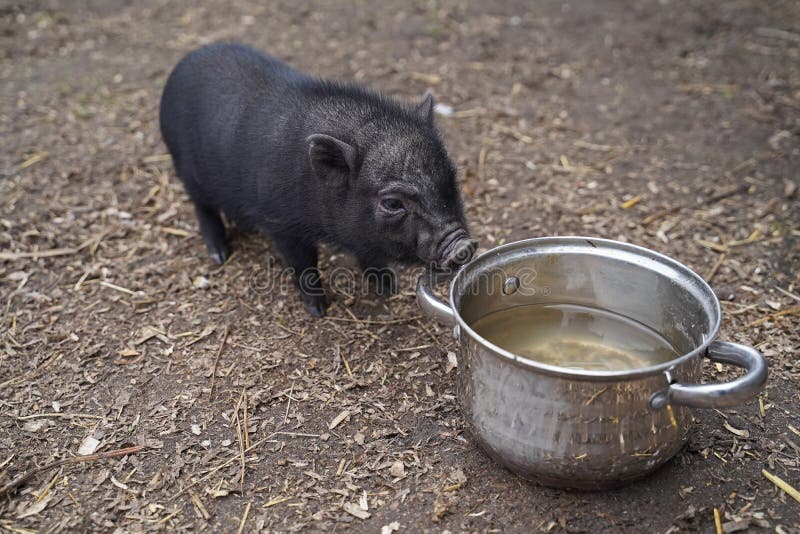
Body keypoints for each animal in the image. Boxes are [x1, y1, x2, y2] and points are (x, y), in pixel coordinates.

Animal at [159, 43, 476, 316]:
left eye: (451, 177)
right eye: (392, 203)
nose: (463, 245)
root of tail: (183, 65)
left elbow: (371, 256)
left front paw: (389, 288)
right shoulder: (282, 225)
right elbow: (304, 265)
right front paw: (319, 311)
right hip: (186, 170)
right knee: (203, 209)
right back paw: (219, 255)